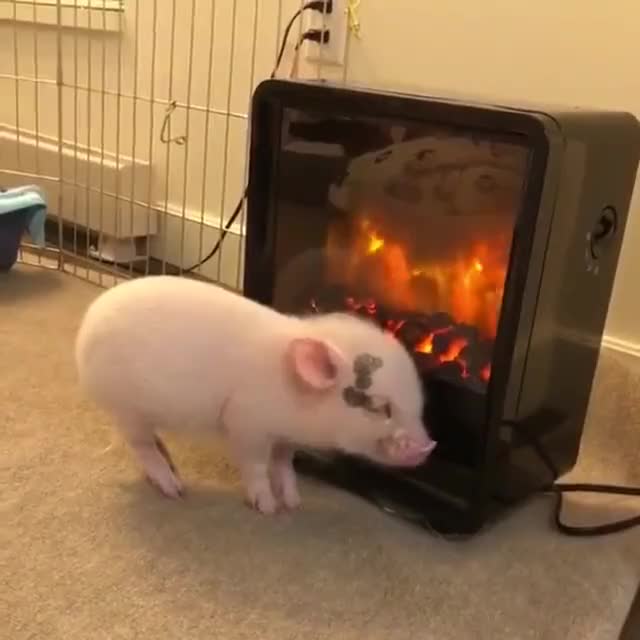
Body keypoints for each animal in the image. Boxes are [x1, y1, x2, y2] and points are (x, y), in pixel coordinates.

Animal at [74, 275, 436, 515]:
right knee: (141, 446)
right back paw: (175, 489)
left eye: (419, 406)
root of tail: (86, 327)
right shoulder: (247, 423)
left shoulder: (286, 436)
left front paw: (294, 502)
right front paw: (268, 508)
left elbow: (284, 463)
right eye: (378, 407)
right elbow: (256, 465)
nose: (428, 446)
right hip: (126, 408)